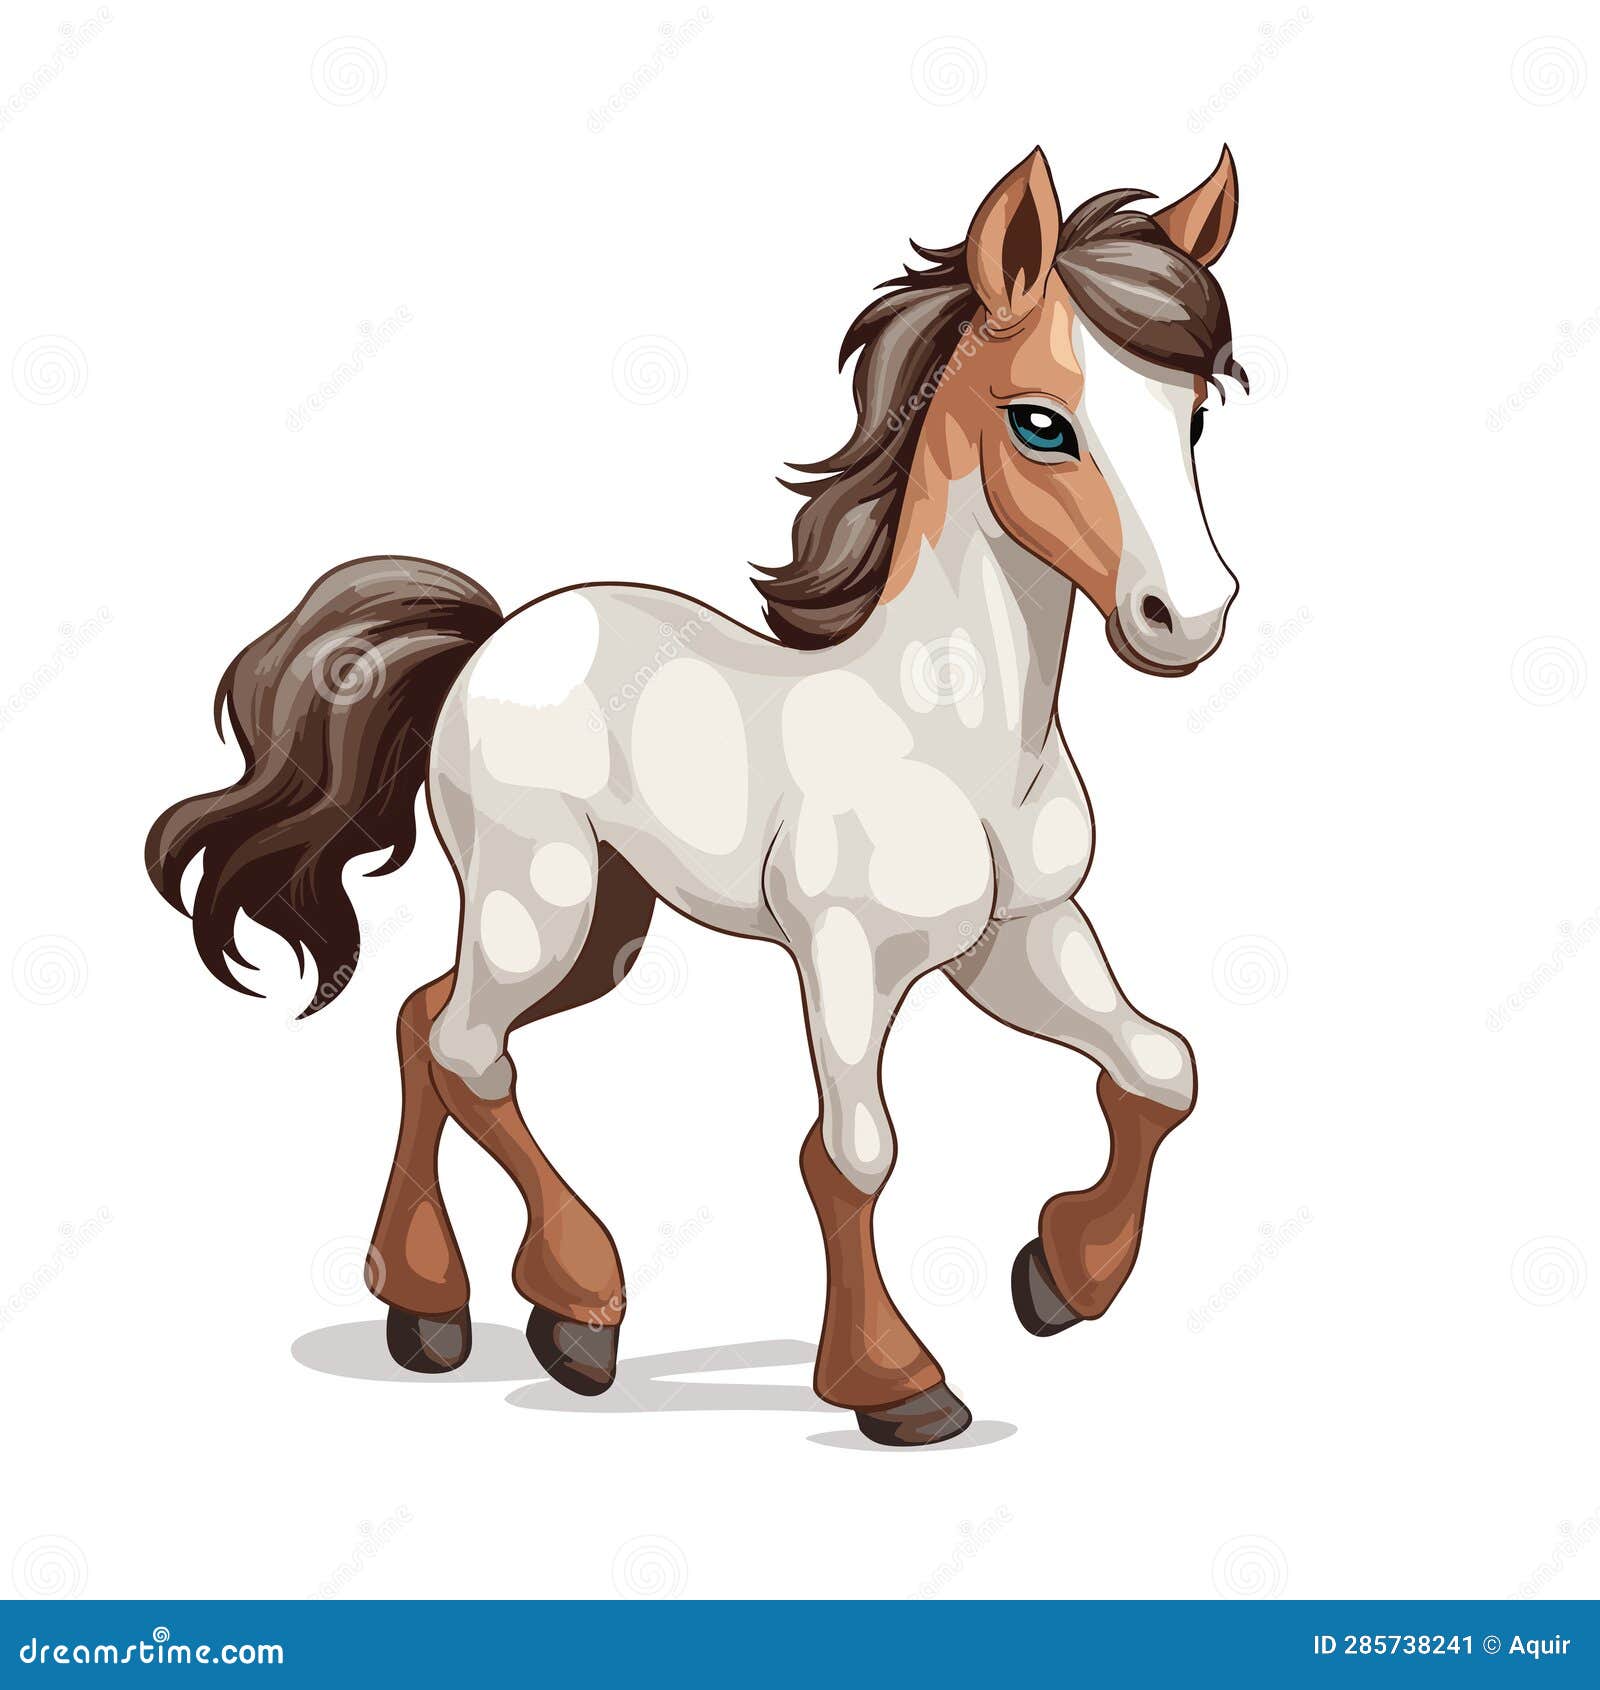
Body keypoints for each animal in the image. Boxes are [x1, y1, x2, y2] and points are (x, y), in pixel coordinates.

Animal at [148, 145, 1246, 1447]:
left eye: (1195, 415)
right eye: (1041, 422)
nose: (1189, 618)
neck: (952, 737)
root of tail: (492, 638)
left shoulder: (1019, 935)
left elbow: (1161, 1067)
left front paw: (1062, 1276)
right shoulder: (844, 956)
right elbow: (854, 1151)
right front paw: (895, 1383)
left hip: (604, 926)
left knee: (427, 1021)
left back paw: (428, 1308)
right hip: (542, 897)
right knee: (469, 1048)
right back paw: (577, 1308)